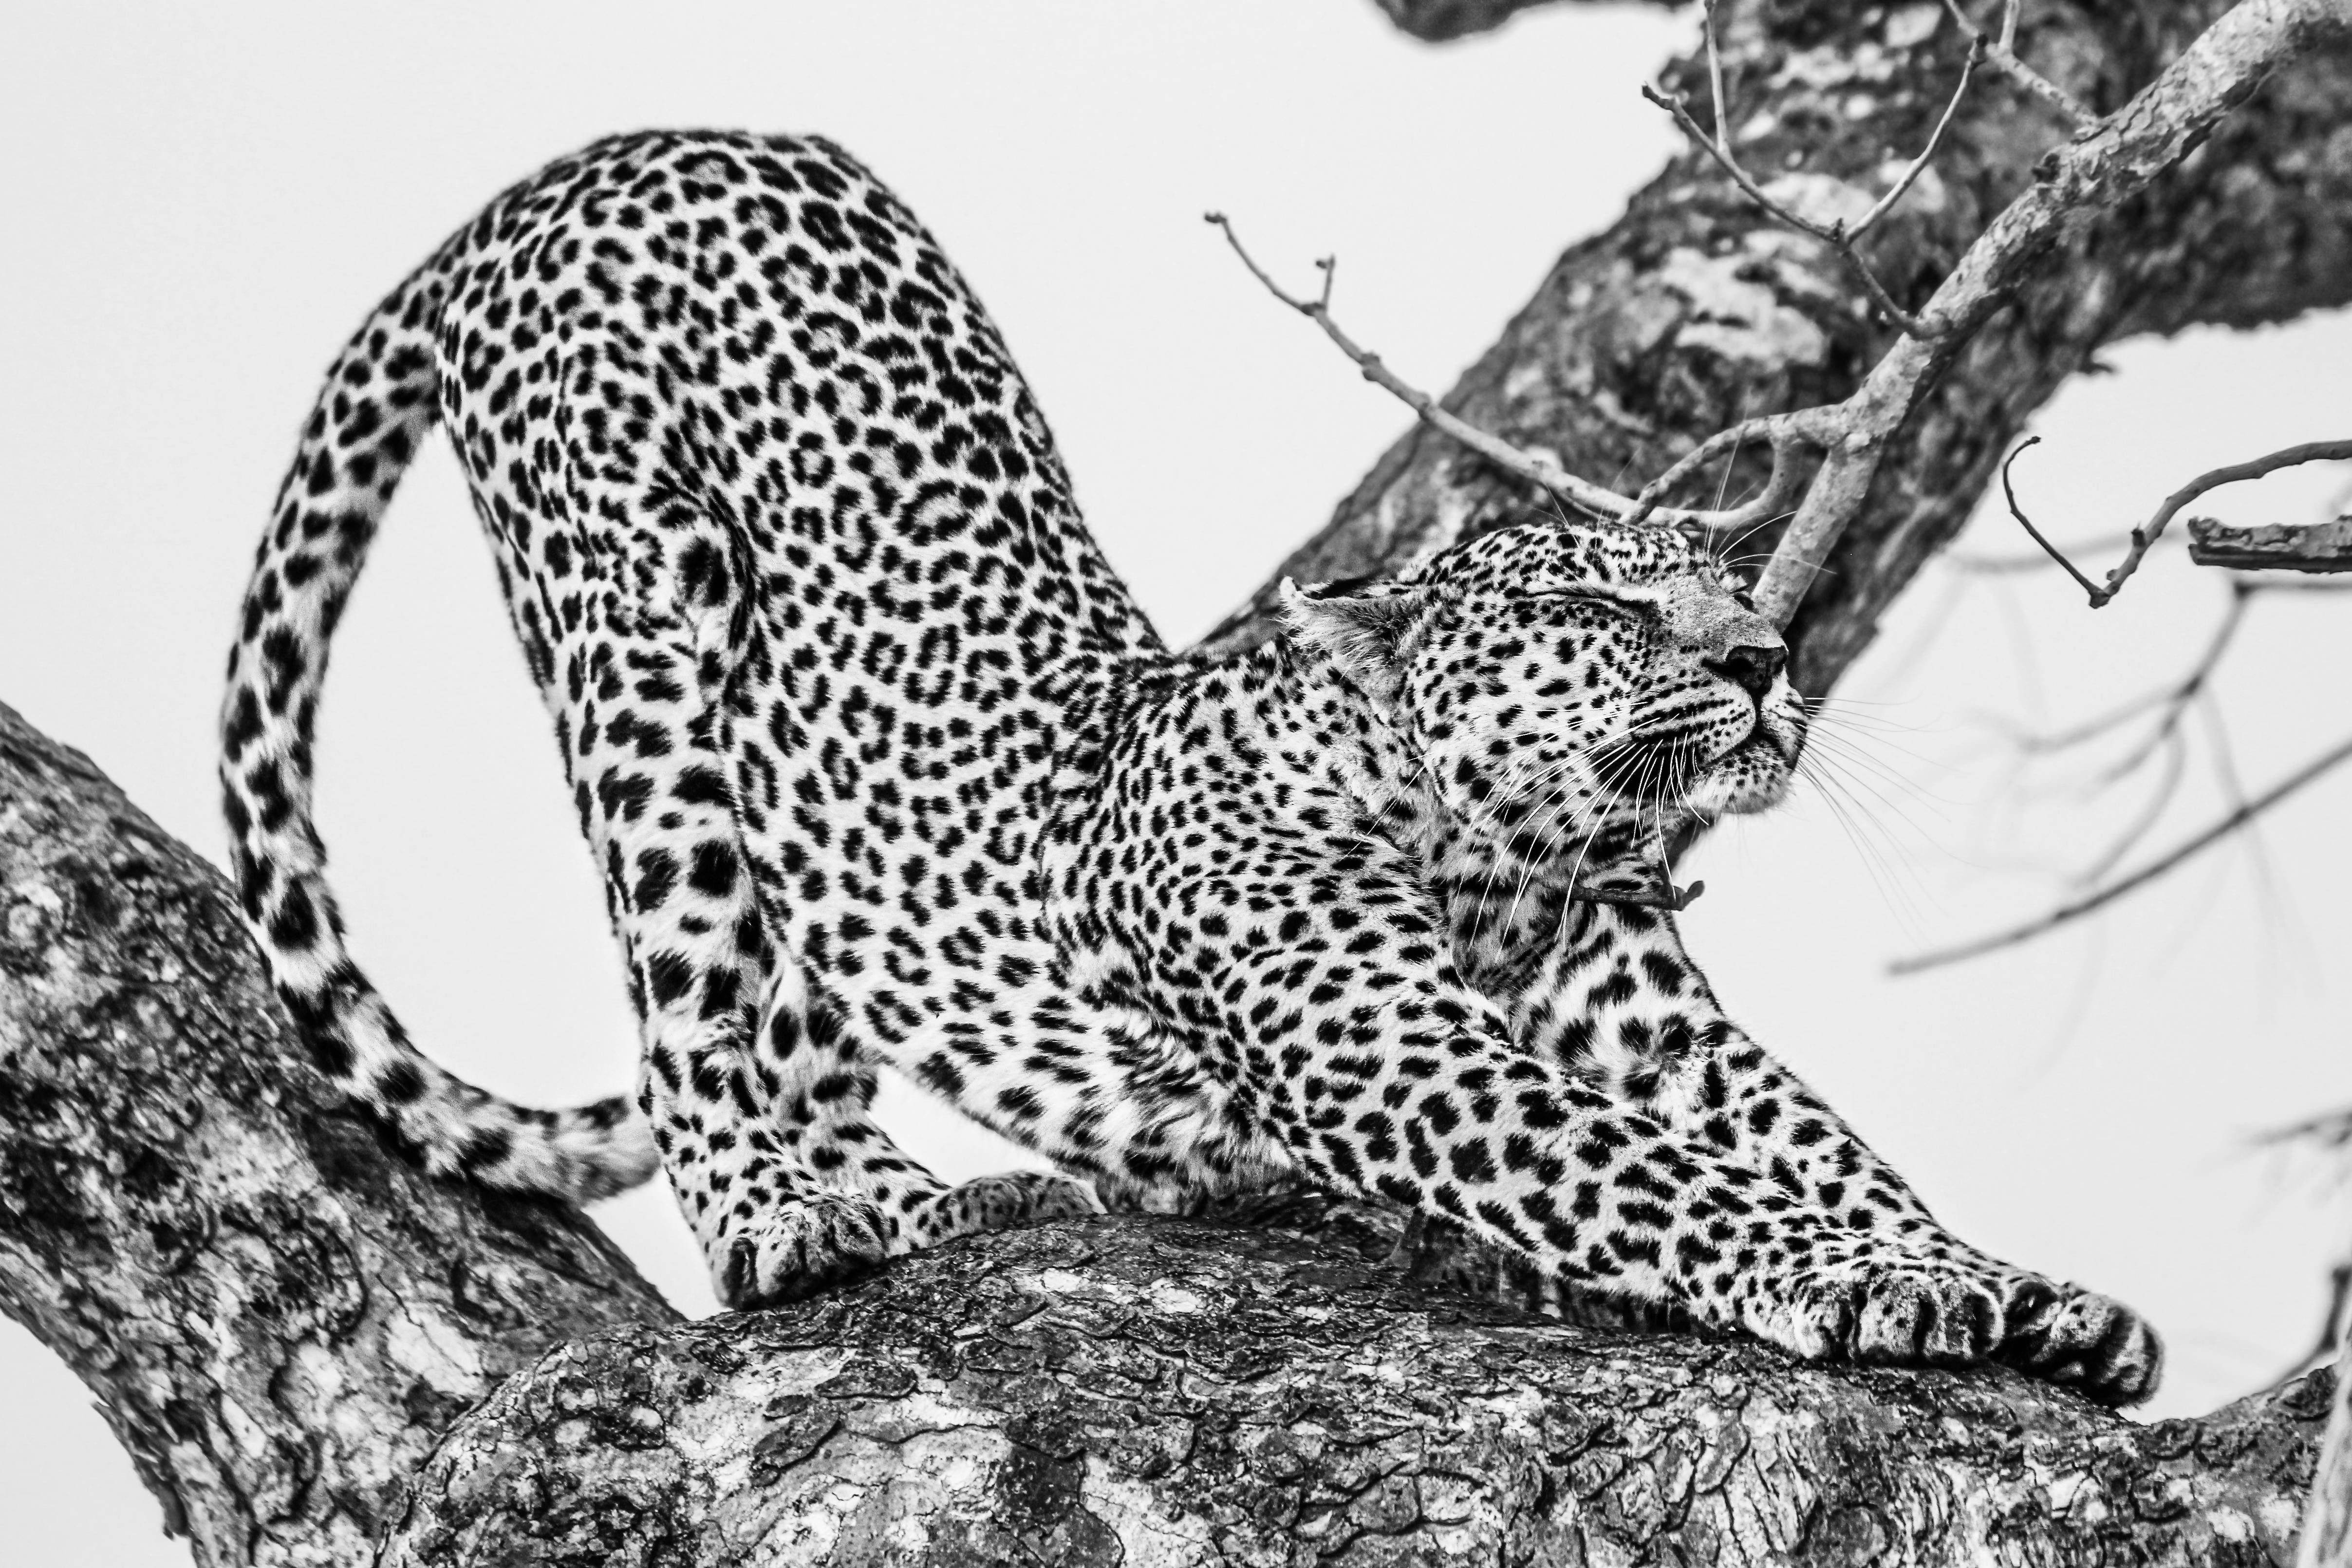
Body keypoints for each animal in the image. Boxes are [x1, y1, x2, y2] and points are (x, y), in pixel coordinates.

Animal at [220, 128, 2160, 1405]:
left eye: (1733, 580)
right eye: (1599, 599)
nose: (1763, 657)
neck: (1496, 858)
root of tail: (591, 157)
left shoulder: (1647, 1012)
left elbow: (1817, 1142)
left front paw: (2011, 1285)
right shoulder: (1405, 1051)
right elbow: (1677, 1183)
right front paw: (1868, 1281)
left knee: (804, 979)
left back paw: (920, 1185)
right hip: (635, 646)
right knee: (686, 984)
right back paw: (787, 1213)